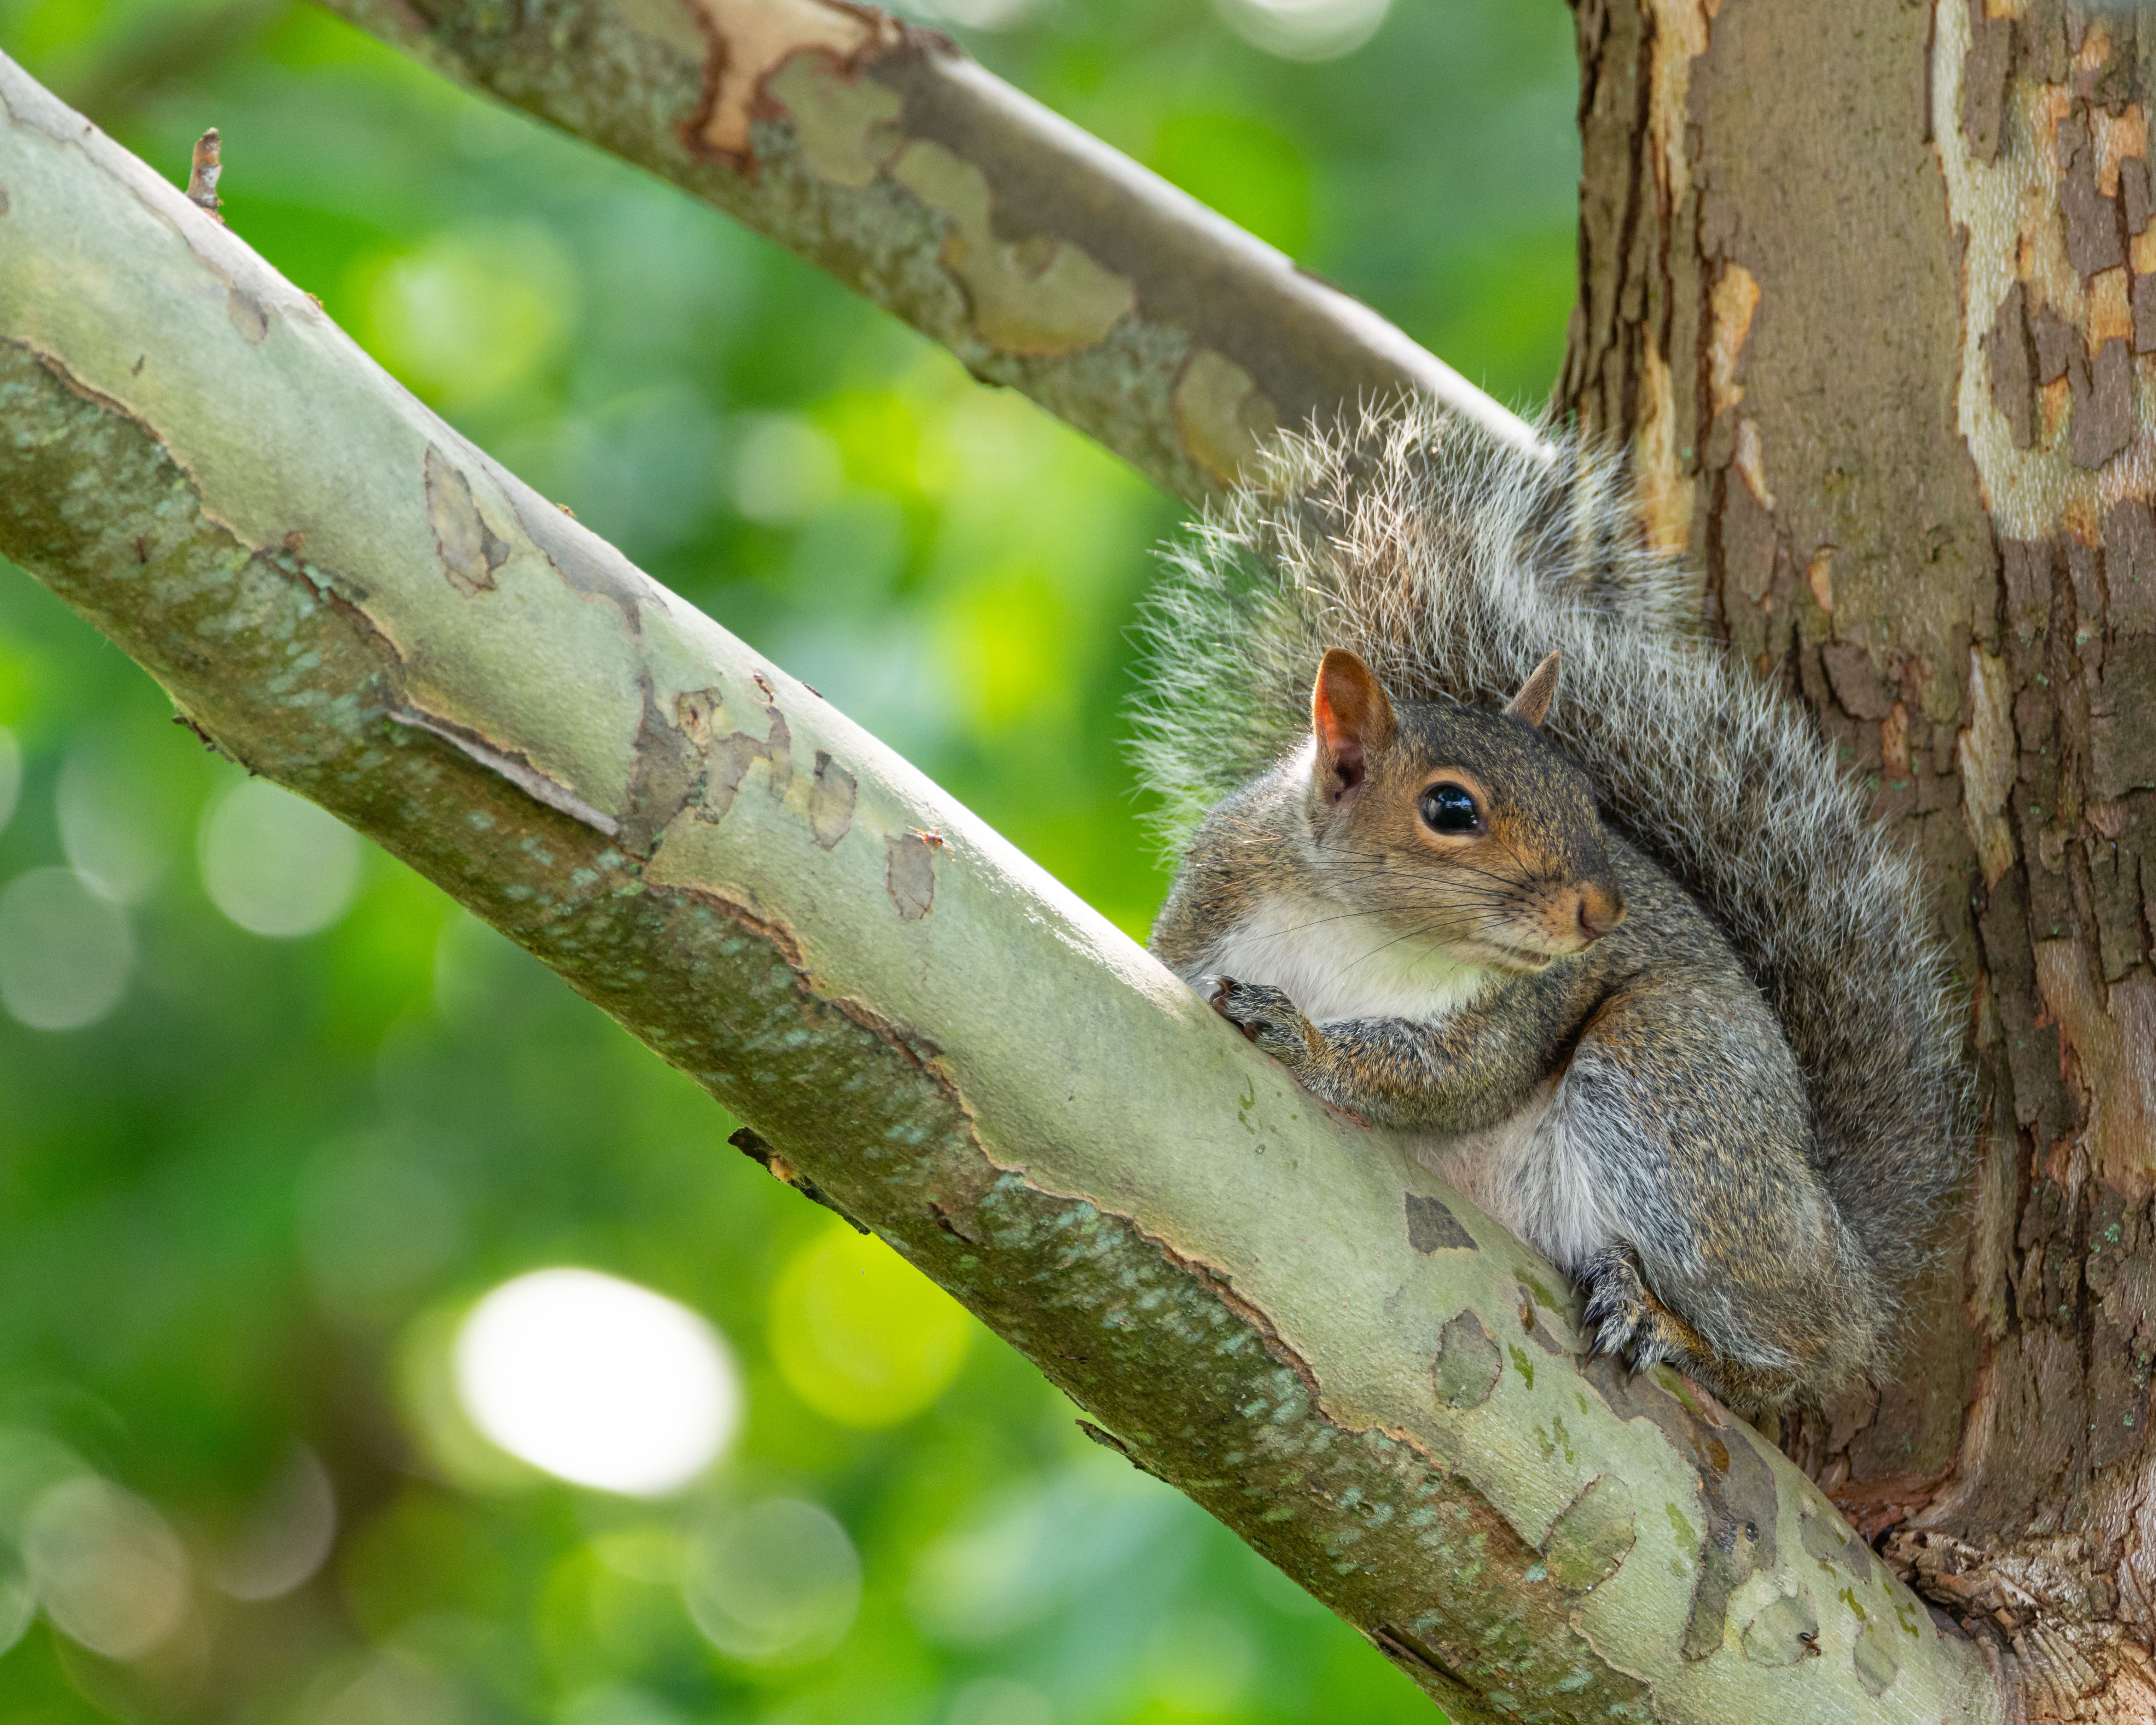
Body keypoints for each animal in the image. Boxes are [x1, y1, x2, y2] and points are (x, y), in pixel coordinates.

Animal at [1133, 404, 1970, 1413]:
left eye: (1585, 795)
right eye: (1450, 809)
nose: (1605, 910)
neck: (1362, 932)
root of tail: (1844, 1251)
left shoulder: (1521, 1007)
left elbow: (1449, 1075)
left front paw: (1302, 1036)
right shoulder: (1215, 896)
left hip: (1669, 1079)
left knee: (1798, 1355)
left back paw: (1675, 1327)